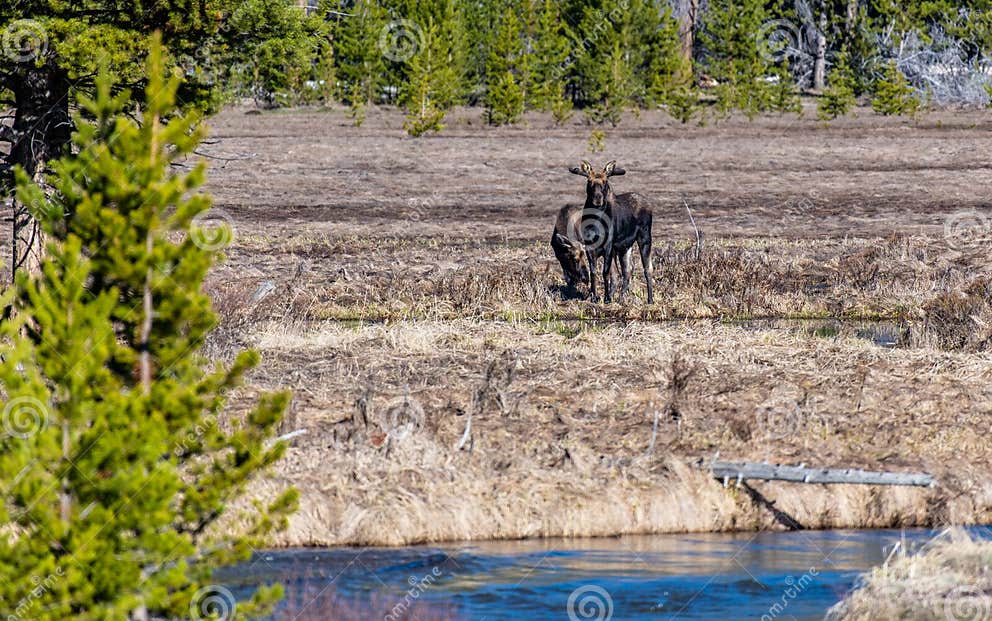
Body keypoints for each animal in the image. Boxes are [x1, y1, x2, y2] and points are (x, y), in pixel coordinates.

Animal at [567, 160, 654, 304]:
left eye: (605, 181)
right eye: (589, 181)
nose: (598, 199)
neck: (596, 222)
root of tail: (648, 204)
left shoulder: (608, 245)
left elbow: (605, 272)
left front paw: (607, 297)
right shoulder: (590, 246)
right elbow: (594, 272)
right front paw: (595, 297)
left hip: (645, 237)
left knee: (647, 268)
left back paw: (650, 299)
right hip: (624, 247)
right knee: (627, 270)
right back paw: (620, 298)